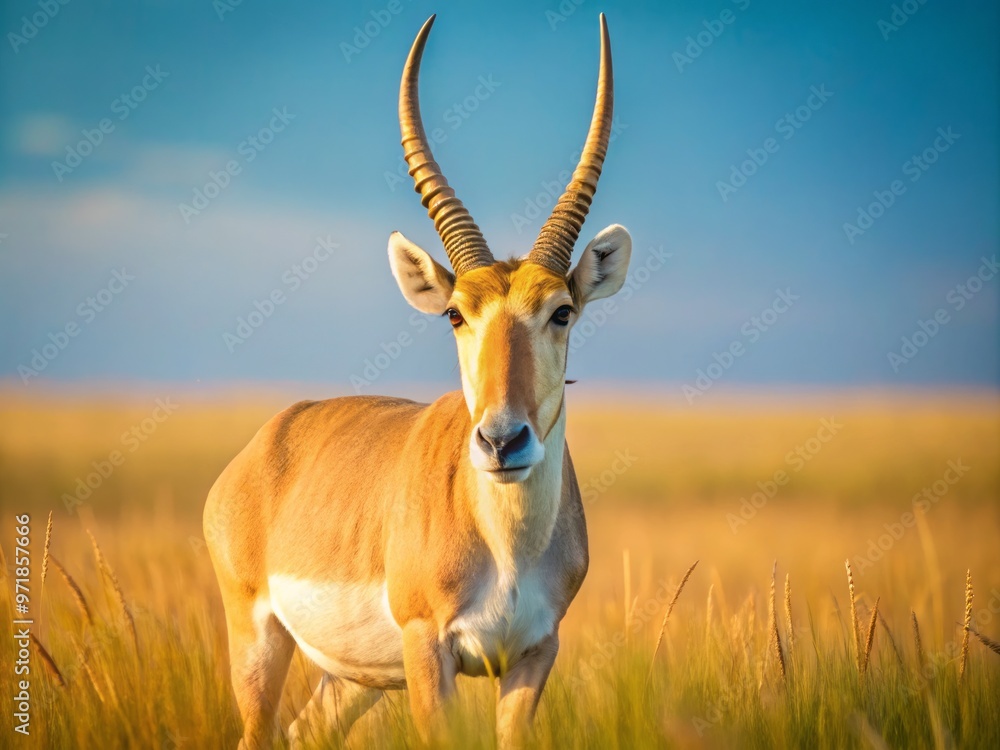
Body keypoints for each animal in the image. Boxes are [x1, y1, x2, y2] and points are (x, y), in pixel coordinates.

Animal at [204, 13, 632, 748]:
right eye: (456, 313)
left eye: (562, 310)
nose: (502, 442)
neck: (506, 543)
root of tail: (266, 444)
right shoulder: (429, 652)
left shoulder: (533, 657)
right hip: (259, 645)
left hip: (351, 680)